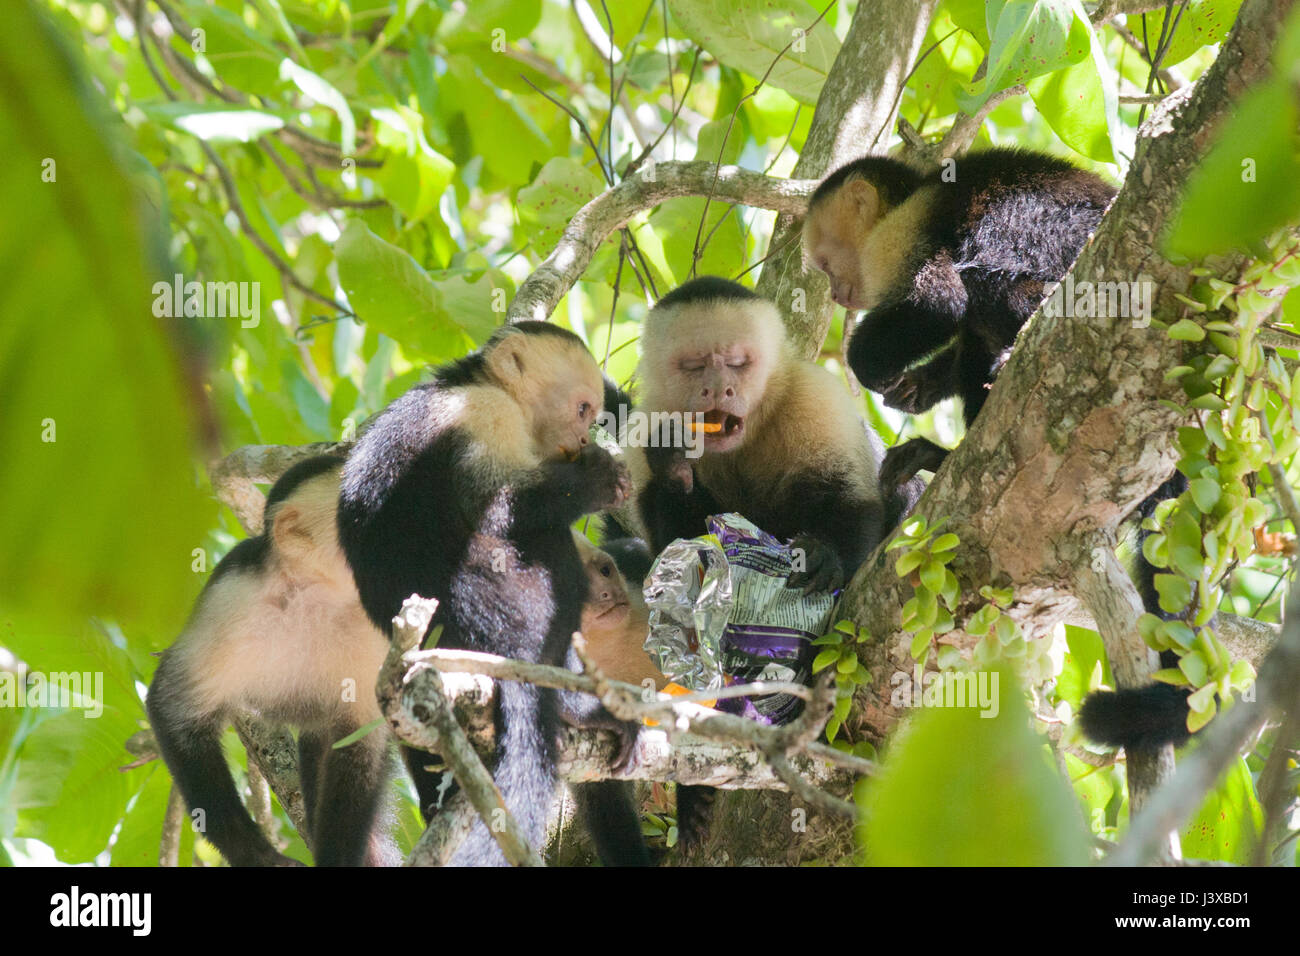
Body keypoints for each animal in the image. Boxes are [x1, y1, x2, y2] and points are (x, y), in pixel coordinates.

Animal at [337, 321, 650, 867]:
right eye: (582, 409)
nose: (583, 438)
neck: (474, 382)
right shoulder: (484, 414)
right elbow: (499, 510)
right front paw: (596, 479)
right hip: (500, 593)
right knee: (542, 547)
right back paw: (572, 704)